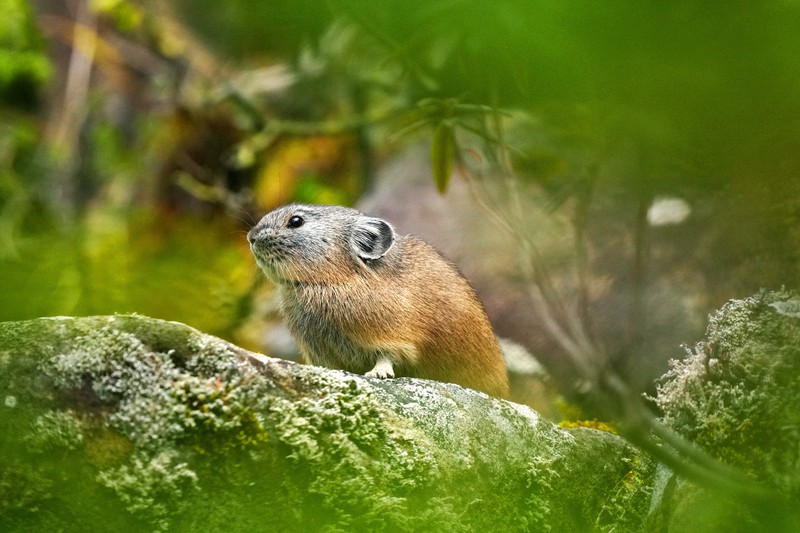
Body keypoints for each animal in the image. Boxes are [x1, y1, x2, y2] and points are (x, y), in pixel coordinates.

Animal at [247, 203, 509, 398]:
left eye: (296, 221)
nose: (251, 236)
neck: (335, 279)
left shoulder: (394, 335)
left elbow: (388, 356)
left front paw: (377, 374)